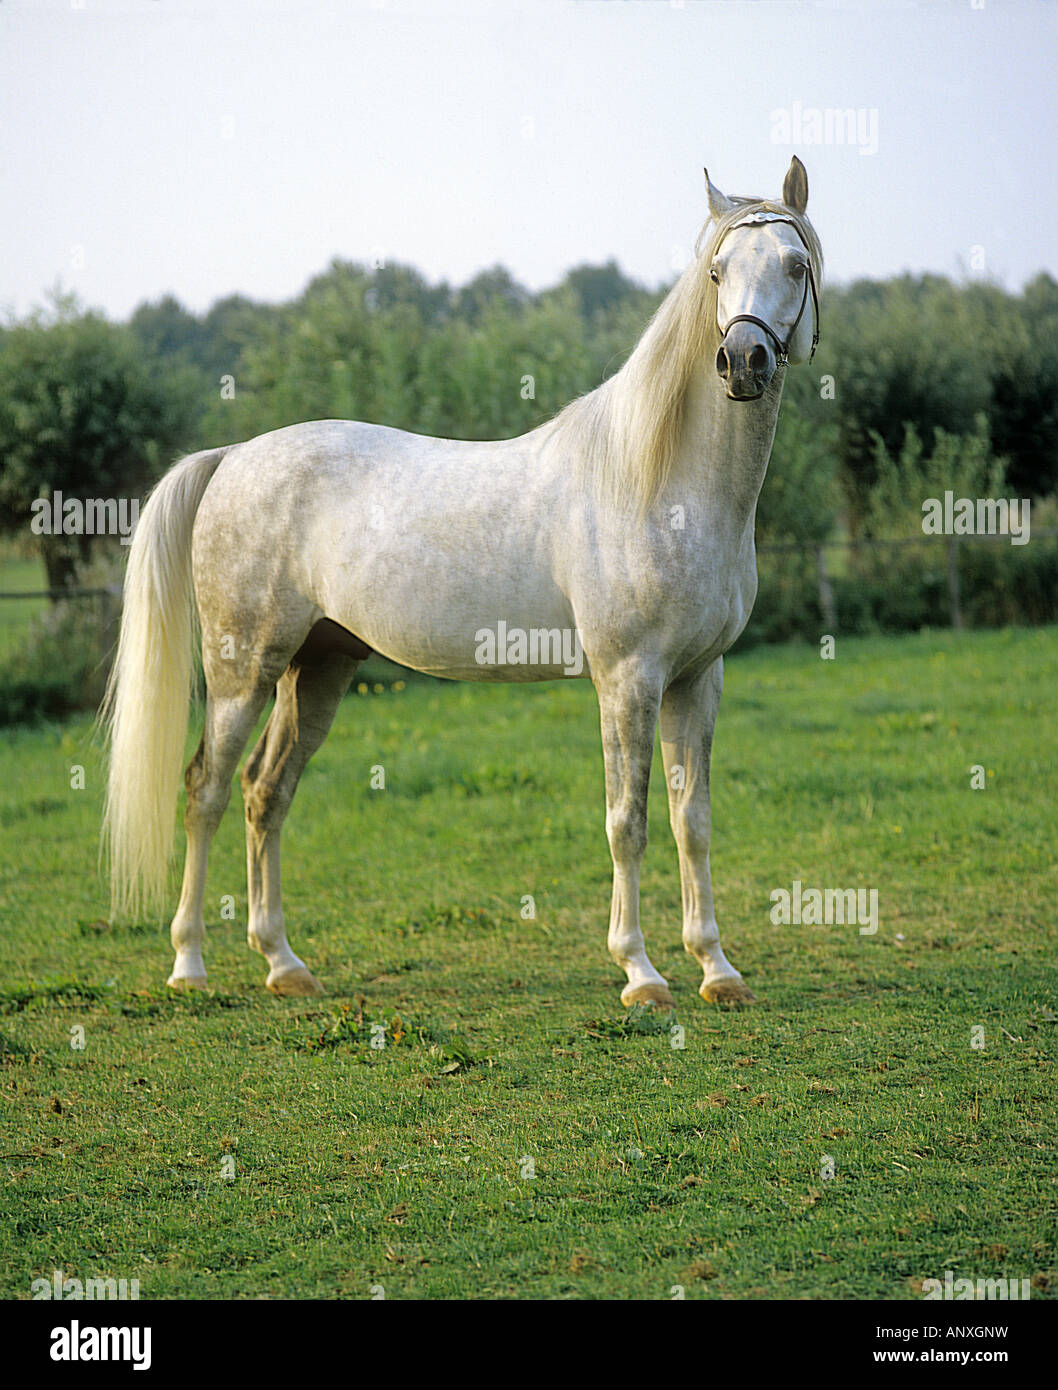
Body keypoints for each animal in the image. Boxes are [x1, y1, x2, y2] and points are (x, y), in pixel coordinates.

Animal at [101, 156, 822, 1009]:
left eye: (796, 264)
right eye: (716, 271)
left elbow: (693, 820)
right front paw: (640, 973)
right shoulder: (628, 679)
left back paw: (283, 963)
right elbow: (627, 821)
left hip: (317, 667)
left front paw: (717, 969)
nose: (742, 362)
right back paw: (189, 963)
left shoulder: (697, 678)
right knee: (206, 789)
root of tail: (233, 456)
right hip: (243, 672)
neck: (661, 485)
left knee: (264, 793)